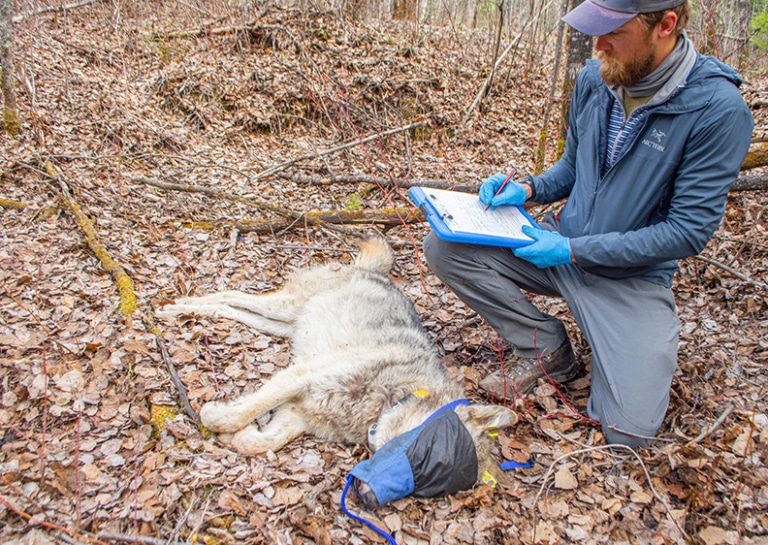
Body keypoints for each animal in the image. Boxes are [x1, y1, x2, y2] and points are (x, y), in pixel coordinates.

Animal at [158, 236, 518, 490]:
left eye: (435, 481)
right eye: (437, 455)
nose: (371, 494)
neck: (388, 397)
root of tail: (375, 272)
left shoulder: (297, 415)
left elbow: (257, 442)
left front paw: (240, 433)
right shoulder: (303, 374)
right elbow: (241, 412)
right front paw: (216, 416)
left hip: (280, 324)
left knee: (233, 309)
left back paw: (189, 310)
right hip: (284, 308)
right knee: (231, 295)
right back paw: (177, 307)